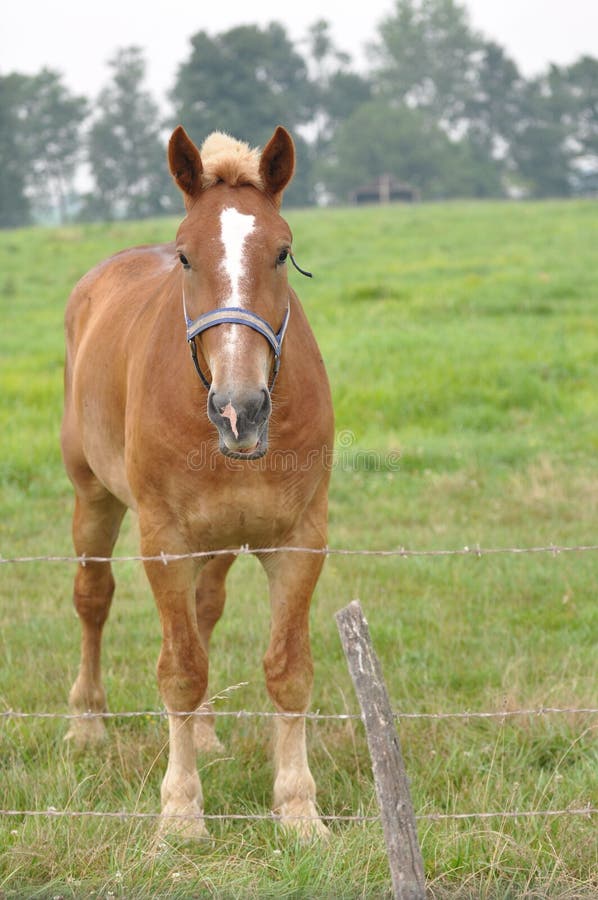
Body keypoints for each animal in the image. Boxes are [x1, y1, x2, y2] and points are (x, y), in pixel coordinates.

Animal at [61, 125, 333, 839]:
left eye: (282, 252)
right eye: (185, 257)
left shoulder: (299, 541)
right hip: (92, 497)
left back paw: (207, 735)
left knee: (206, 610)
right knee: (92, 598)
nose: (241, 410)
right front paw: (181, 813)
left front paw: (299, 809)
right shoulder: (165, 543)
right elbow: (180, 671)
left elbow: (288, 671)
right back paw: (86, 723)